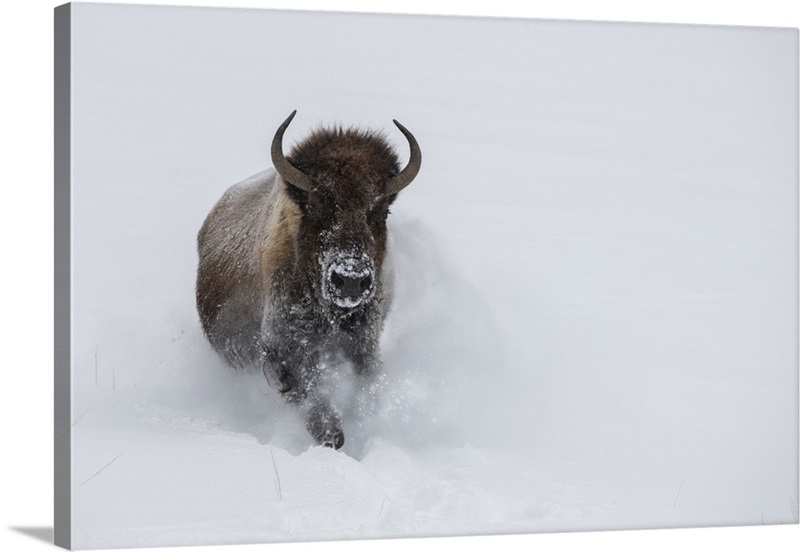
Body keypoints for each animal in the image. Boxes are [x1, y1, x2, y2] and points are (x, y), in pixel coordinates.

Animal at [196, 111, 421, 449]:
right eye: (315, 206)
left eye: (382, 213)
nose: (350, 280)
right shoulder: (285, 347)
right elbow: (316, 404)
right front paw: (334, 439)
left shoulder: (363, 343)